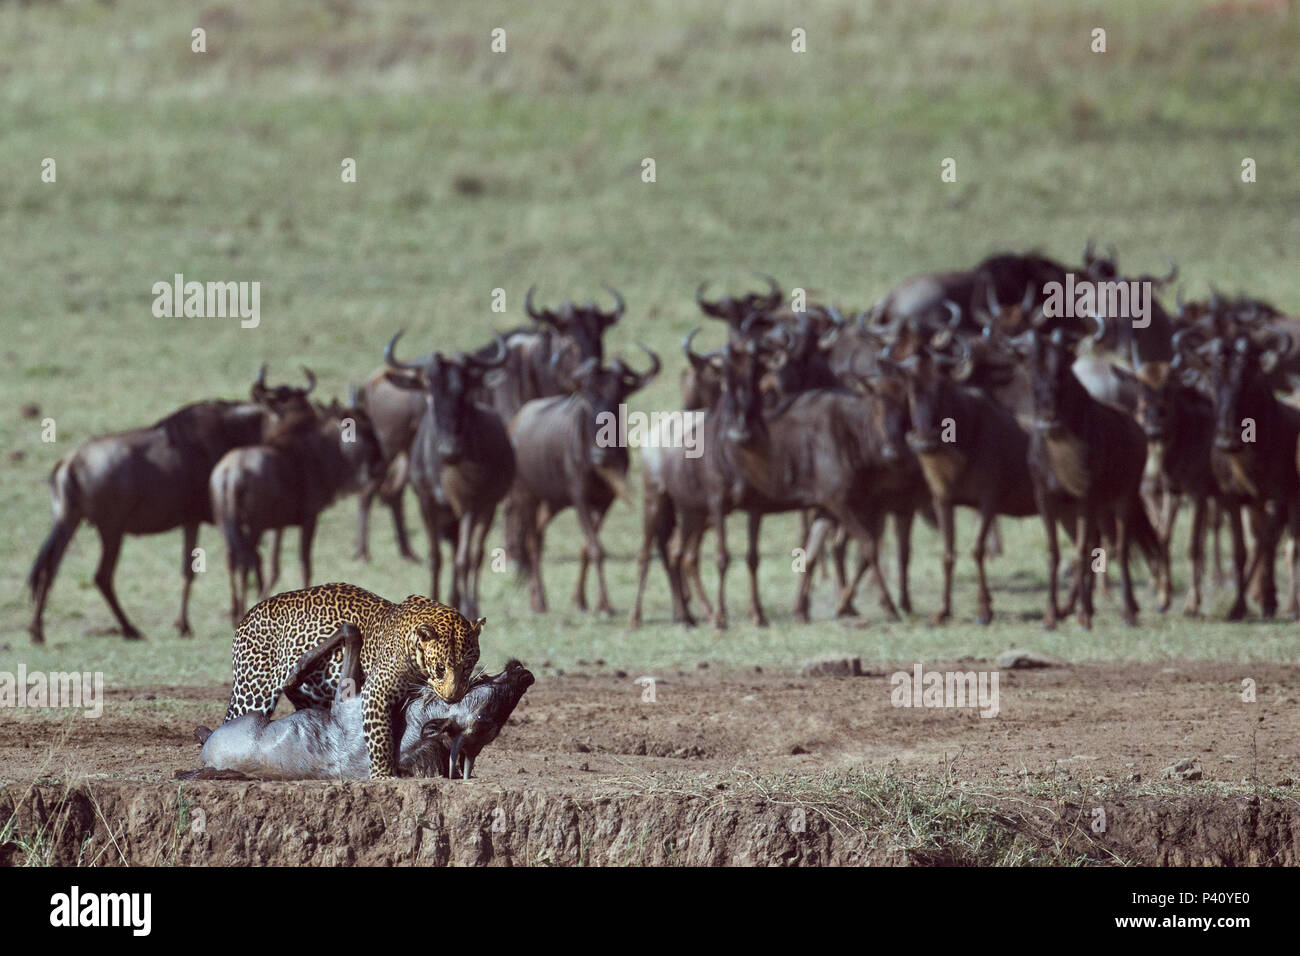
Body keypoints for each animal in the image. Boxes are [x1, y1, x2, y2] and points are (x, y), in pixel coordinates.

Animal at [223, 582, 482, 778]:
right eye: (440, 668)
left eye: (467, 666)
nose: (453, 696)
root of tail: (250, 612)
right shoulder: (376, 692)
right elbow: (381, 739)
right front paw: (383, 775)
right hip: (252, 693)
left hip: (311, 698)